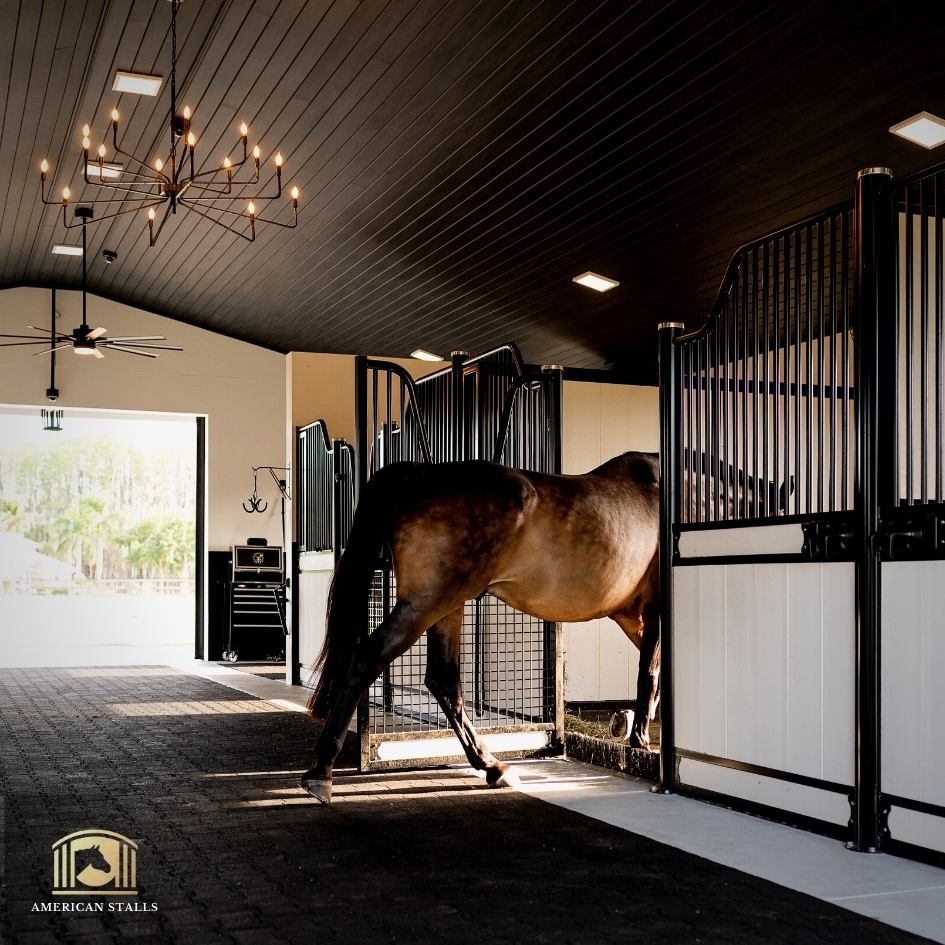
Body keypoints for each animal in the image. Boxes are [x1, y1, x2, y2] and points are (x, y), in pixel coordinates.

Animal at [301, 451, 660, 804]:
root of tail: (420, 475)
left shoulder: (630, 616)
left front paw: (631, 723)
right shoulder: (655, 608)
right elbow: (650, 672)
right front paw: (640, 739)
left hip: (447, 607)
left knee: (443, 680)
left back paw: (491, 765)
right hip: (424, 604)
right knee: (366, 659)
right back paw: (321, 772)